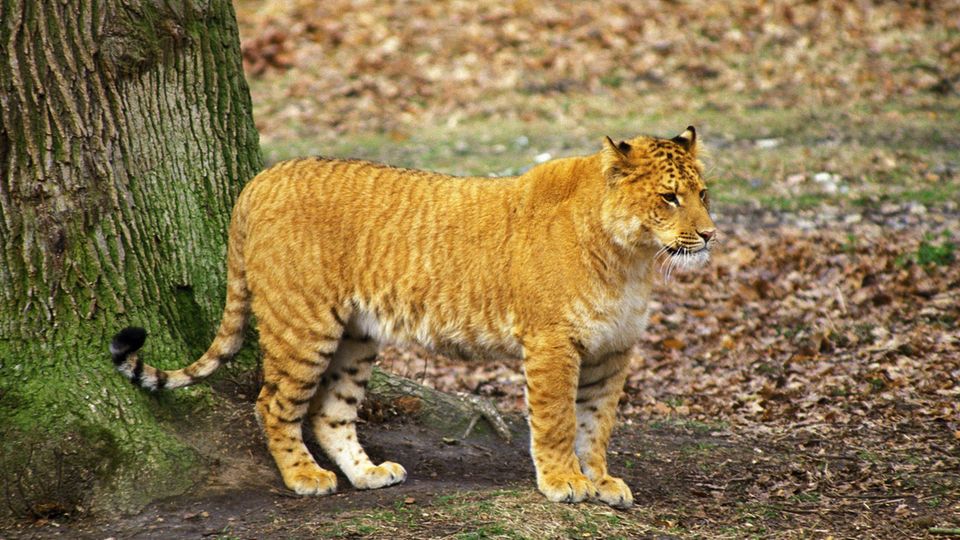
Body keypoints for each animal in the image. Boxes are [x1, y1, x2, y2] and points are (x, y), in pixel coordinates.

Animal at [109, 126, 716, 509]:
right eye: (669, 197)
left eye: (704, 193)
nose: (710, 234)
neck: (631, 258)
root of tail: (260, 179)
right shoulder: (552, 342)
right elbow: (558, 420)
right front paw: (564, 483)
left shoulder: (613, 349)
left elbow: (597, 424)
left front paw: (602, 480)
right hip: (304, 325)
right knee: (274, 404)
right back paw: (305, 477)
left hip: (356, 336)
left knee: (331, 412)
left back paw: (368, 474)